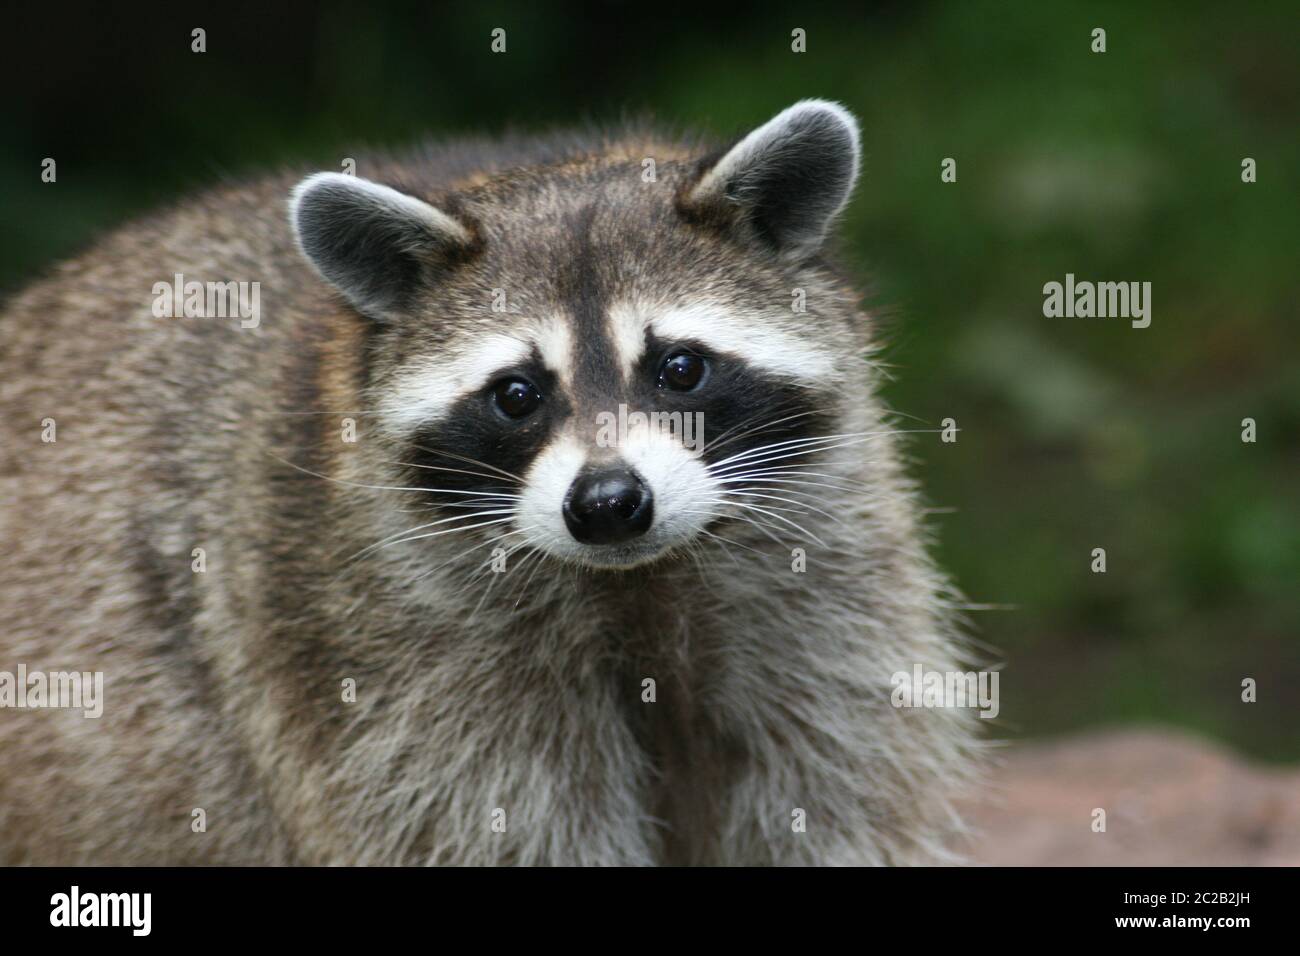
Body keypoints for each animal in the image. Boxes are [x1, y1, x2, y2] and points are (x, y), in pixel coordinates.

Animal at [0, 100, 978, 865]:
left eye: (681, 369)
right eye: (516, 395)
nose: (609, 506)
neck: (639, 586)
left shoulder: (828, 593)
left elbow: (827, 795)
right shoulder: (367, 650)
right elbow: (496, 828)